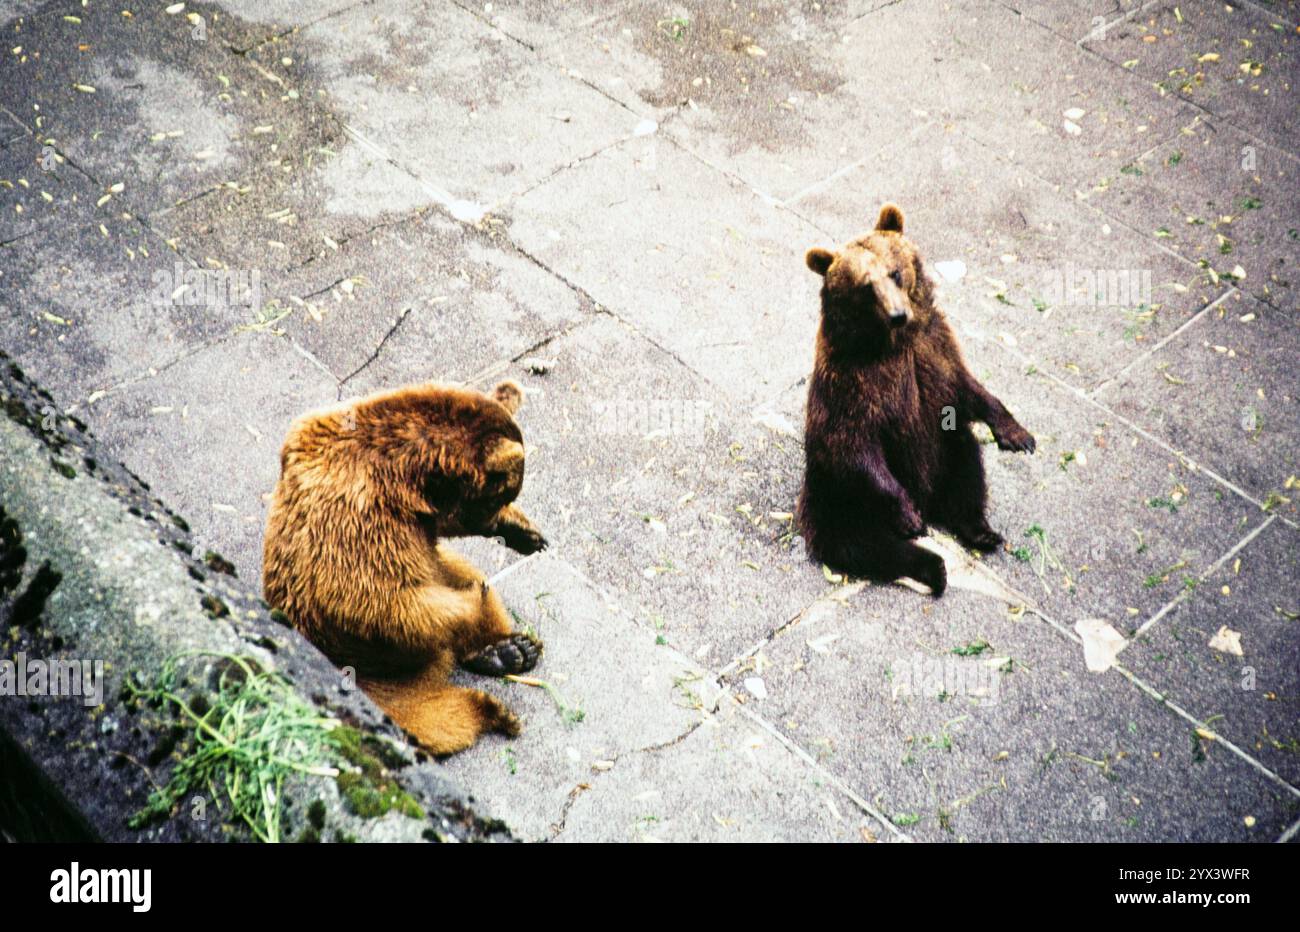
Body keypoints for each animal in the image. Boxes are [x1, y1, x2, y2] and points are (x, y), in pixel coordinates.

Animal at [262, 379, 548, 756]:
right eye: (503, 493)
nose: (498, 516)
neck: (411, 479)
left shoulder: (420, 522)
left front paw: (525, 532)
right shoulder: (361, 520)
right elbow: (381, 603)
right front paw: (474, 601)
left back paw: (510, 649)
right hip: (370, 676)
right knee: (429, 718)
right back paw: (494, 706)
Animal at [796, 203, 1035, 596]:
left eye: (895, 272)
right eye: (865, 286)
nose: (897, 314)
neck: (892, 343)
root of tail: (930, 500)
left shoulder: (935, 351)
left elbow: (967, 390)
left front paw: (1017, 435)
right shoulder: (852, 383)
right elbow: (854, 443)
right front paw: (908, 514)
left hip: (942, 451)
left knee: (966, 464)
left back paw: (981, 531)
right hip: (836, 499)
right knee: (865, 545)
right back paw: (932, 566)